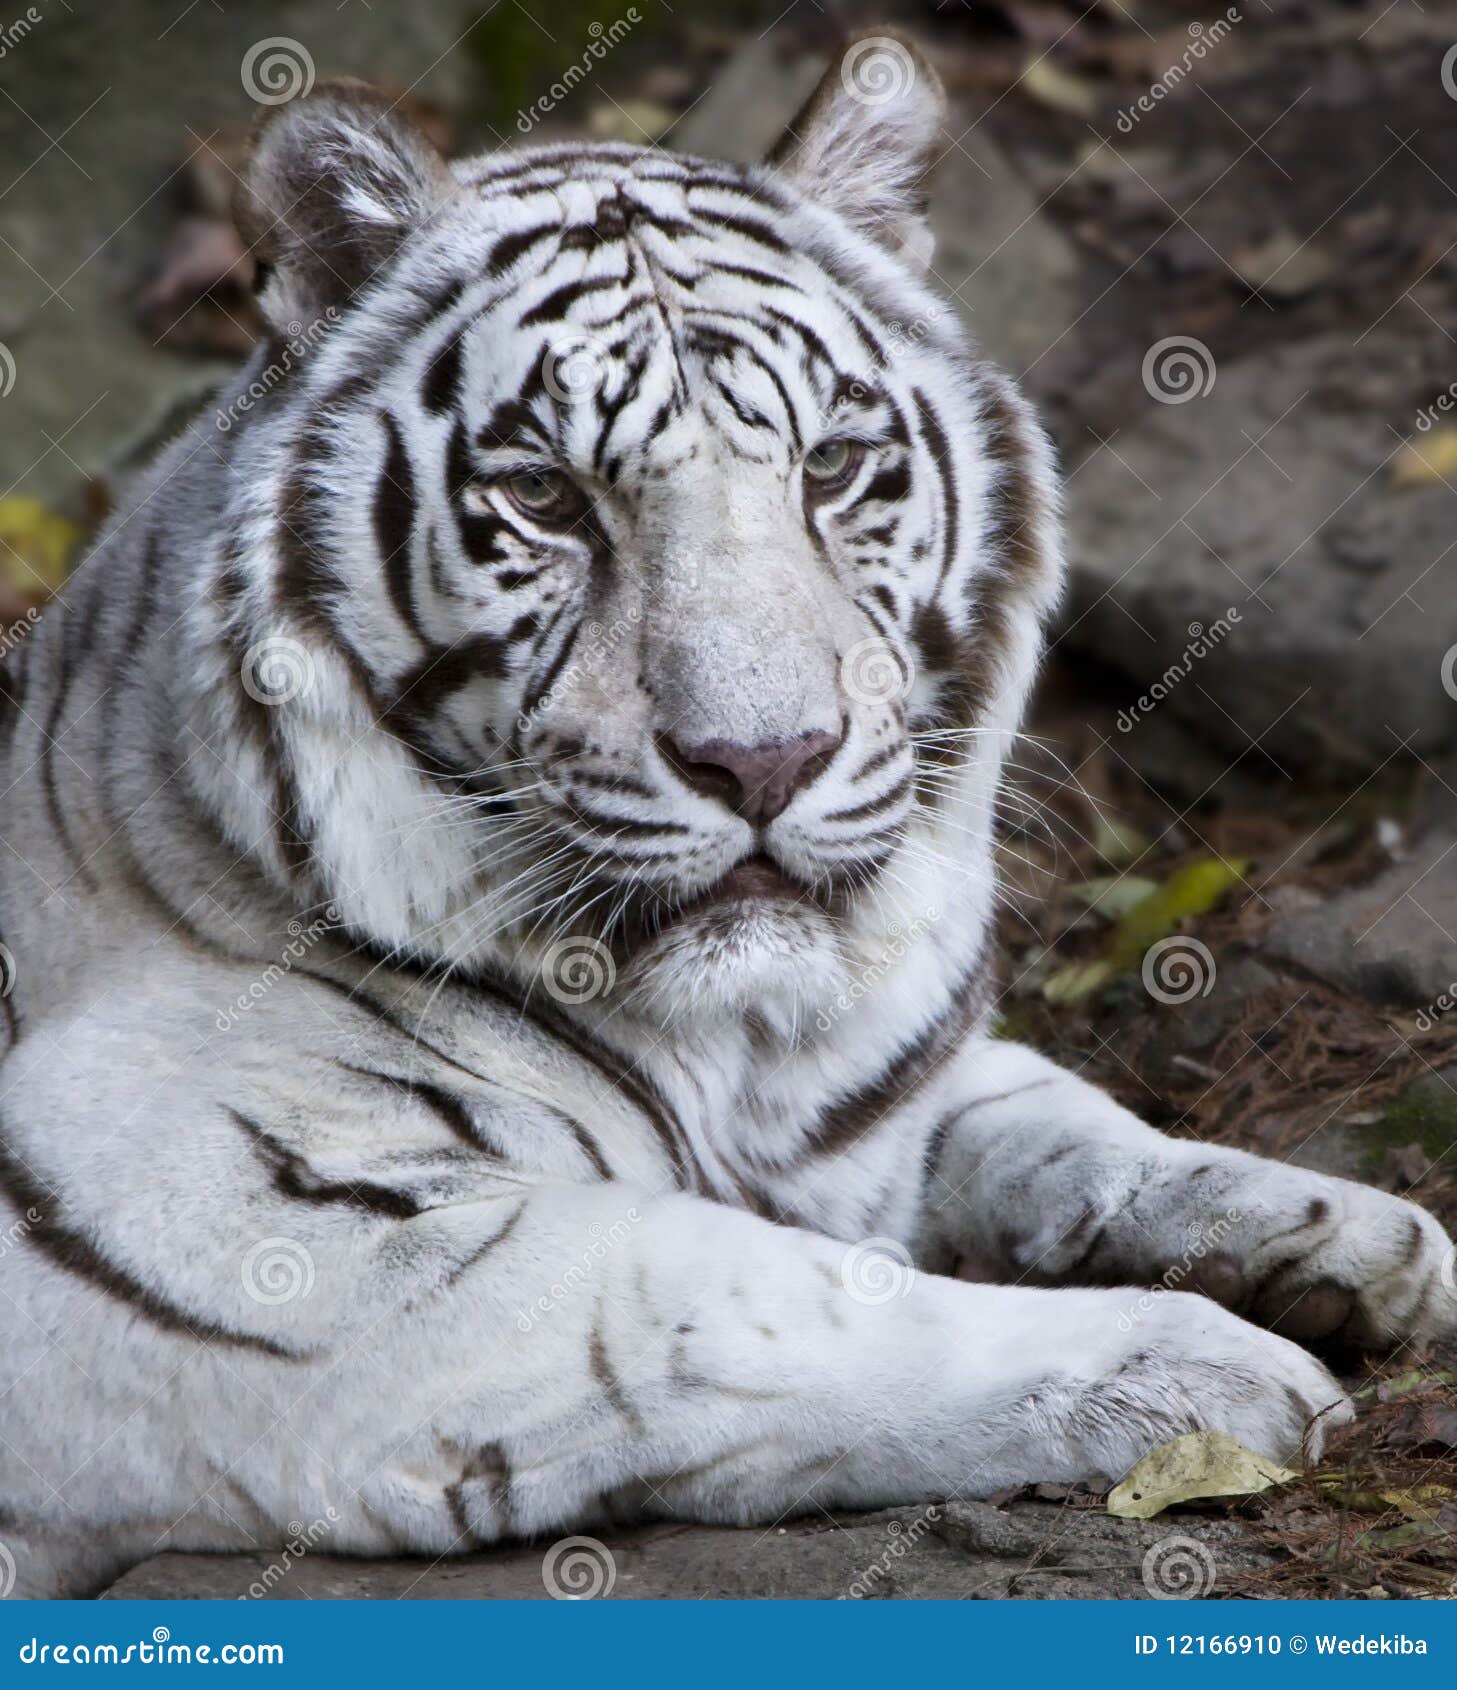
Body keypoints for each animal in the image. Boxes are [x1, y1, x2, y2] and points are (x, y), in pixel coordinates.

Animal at [0, 32, 1452, 1600]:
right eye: (543, 496)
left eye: (831, 468)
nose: (764, 761)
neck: (745, 1041)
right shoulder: (225, 1229)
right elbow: (757, 1291)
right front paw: (1194, 1366)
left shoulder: (873, 1102)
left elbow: (1052, 1115)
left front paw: (1346, 1235)